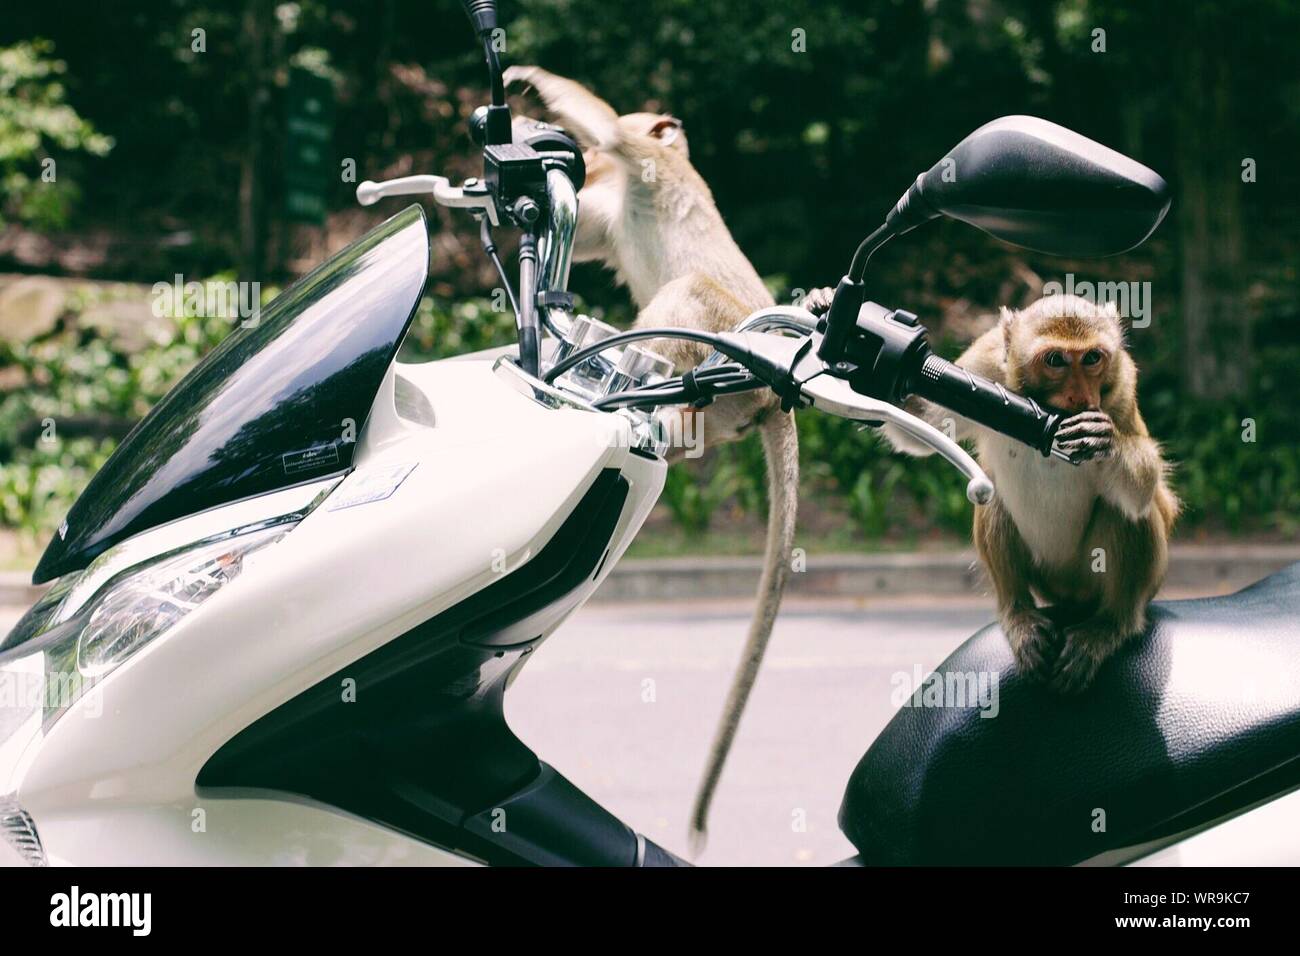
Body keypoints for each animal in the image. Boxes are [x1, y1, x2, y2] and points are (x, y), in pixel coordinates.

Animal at [504, 66, 798, 852]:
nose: (591, 172)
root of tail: (774, 395)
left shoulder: (651, 166)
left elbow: (613, 129)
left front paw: (534, 86)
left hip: (729, 341)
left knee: (686, 296)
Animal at [864, 293, 1179, 693]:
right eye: (1056, 360)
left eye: (1092, 358)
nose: (1081, 396)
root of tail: (1068, 596)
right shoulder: (984, 361)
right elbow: (924, 423)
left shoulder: (1122, 382)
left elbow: (1145, 491)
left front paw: (1103, 441)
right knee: (995, 499)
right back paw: (1019, 615)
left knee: (1123, 510)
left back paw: (1110, 625)